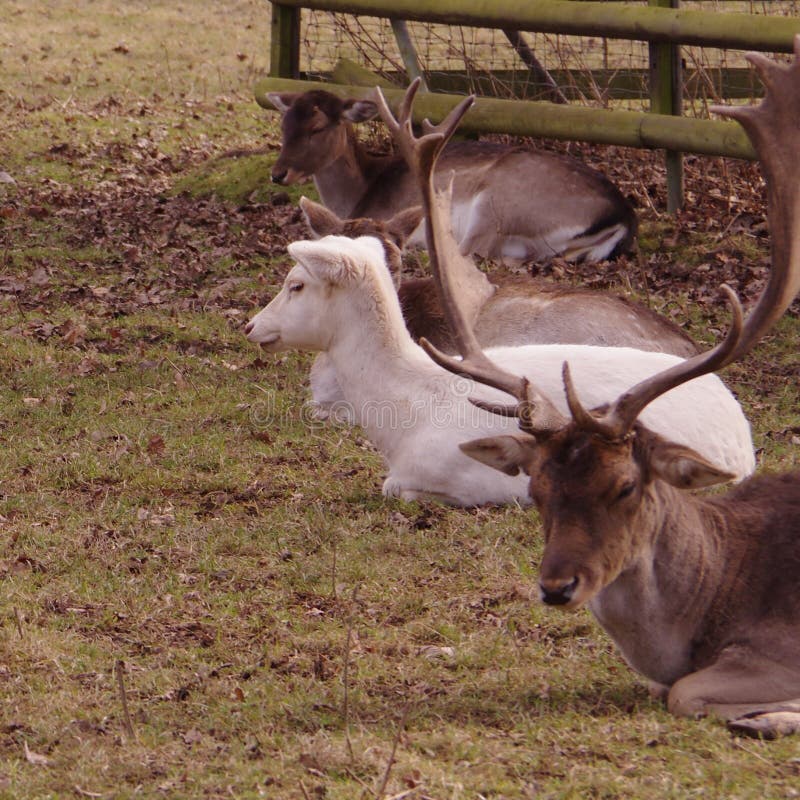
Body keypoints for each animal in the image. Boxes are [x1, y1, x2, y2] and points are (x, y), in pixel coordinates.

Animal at [266, 88, 637, 267]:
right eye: (283, 125)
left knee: (472, 252)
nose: (277, 173)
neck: (362, 190)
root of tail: (623, 215)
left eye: (316, 128)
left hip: (498, 203)